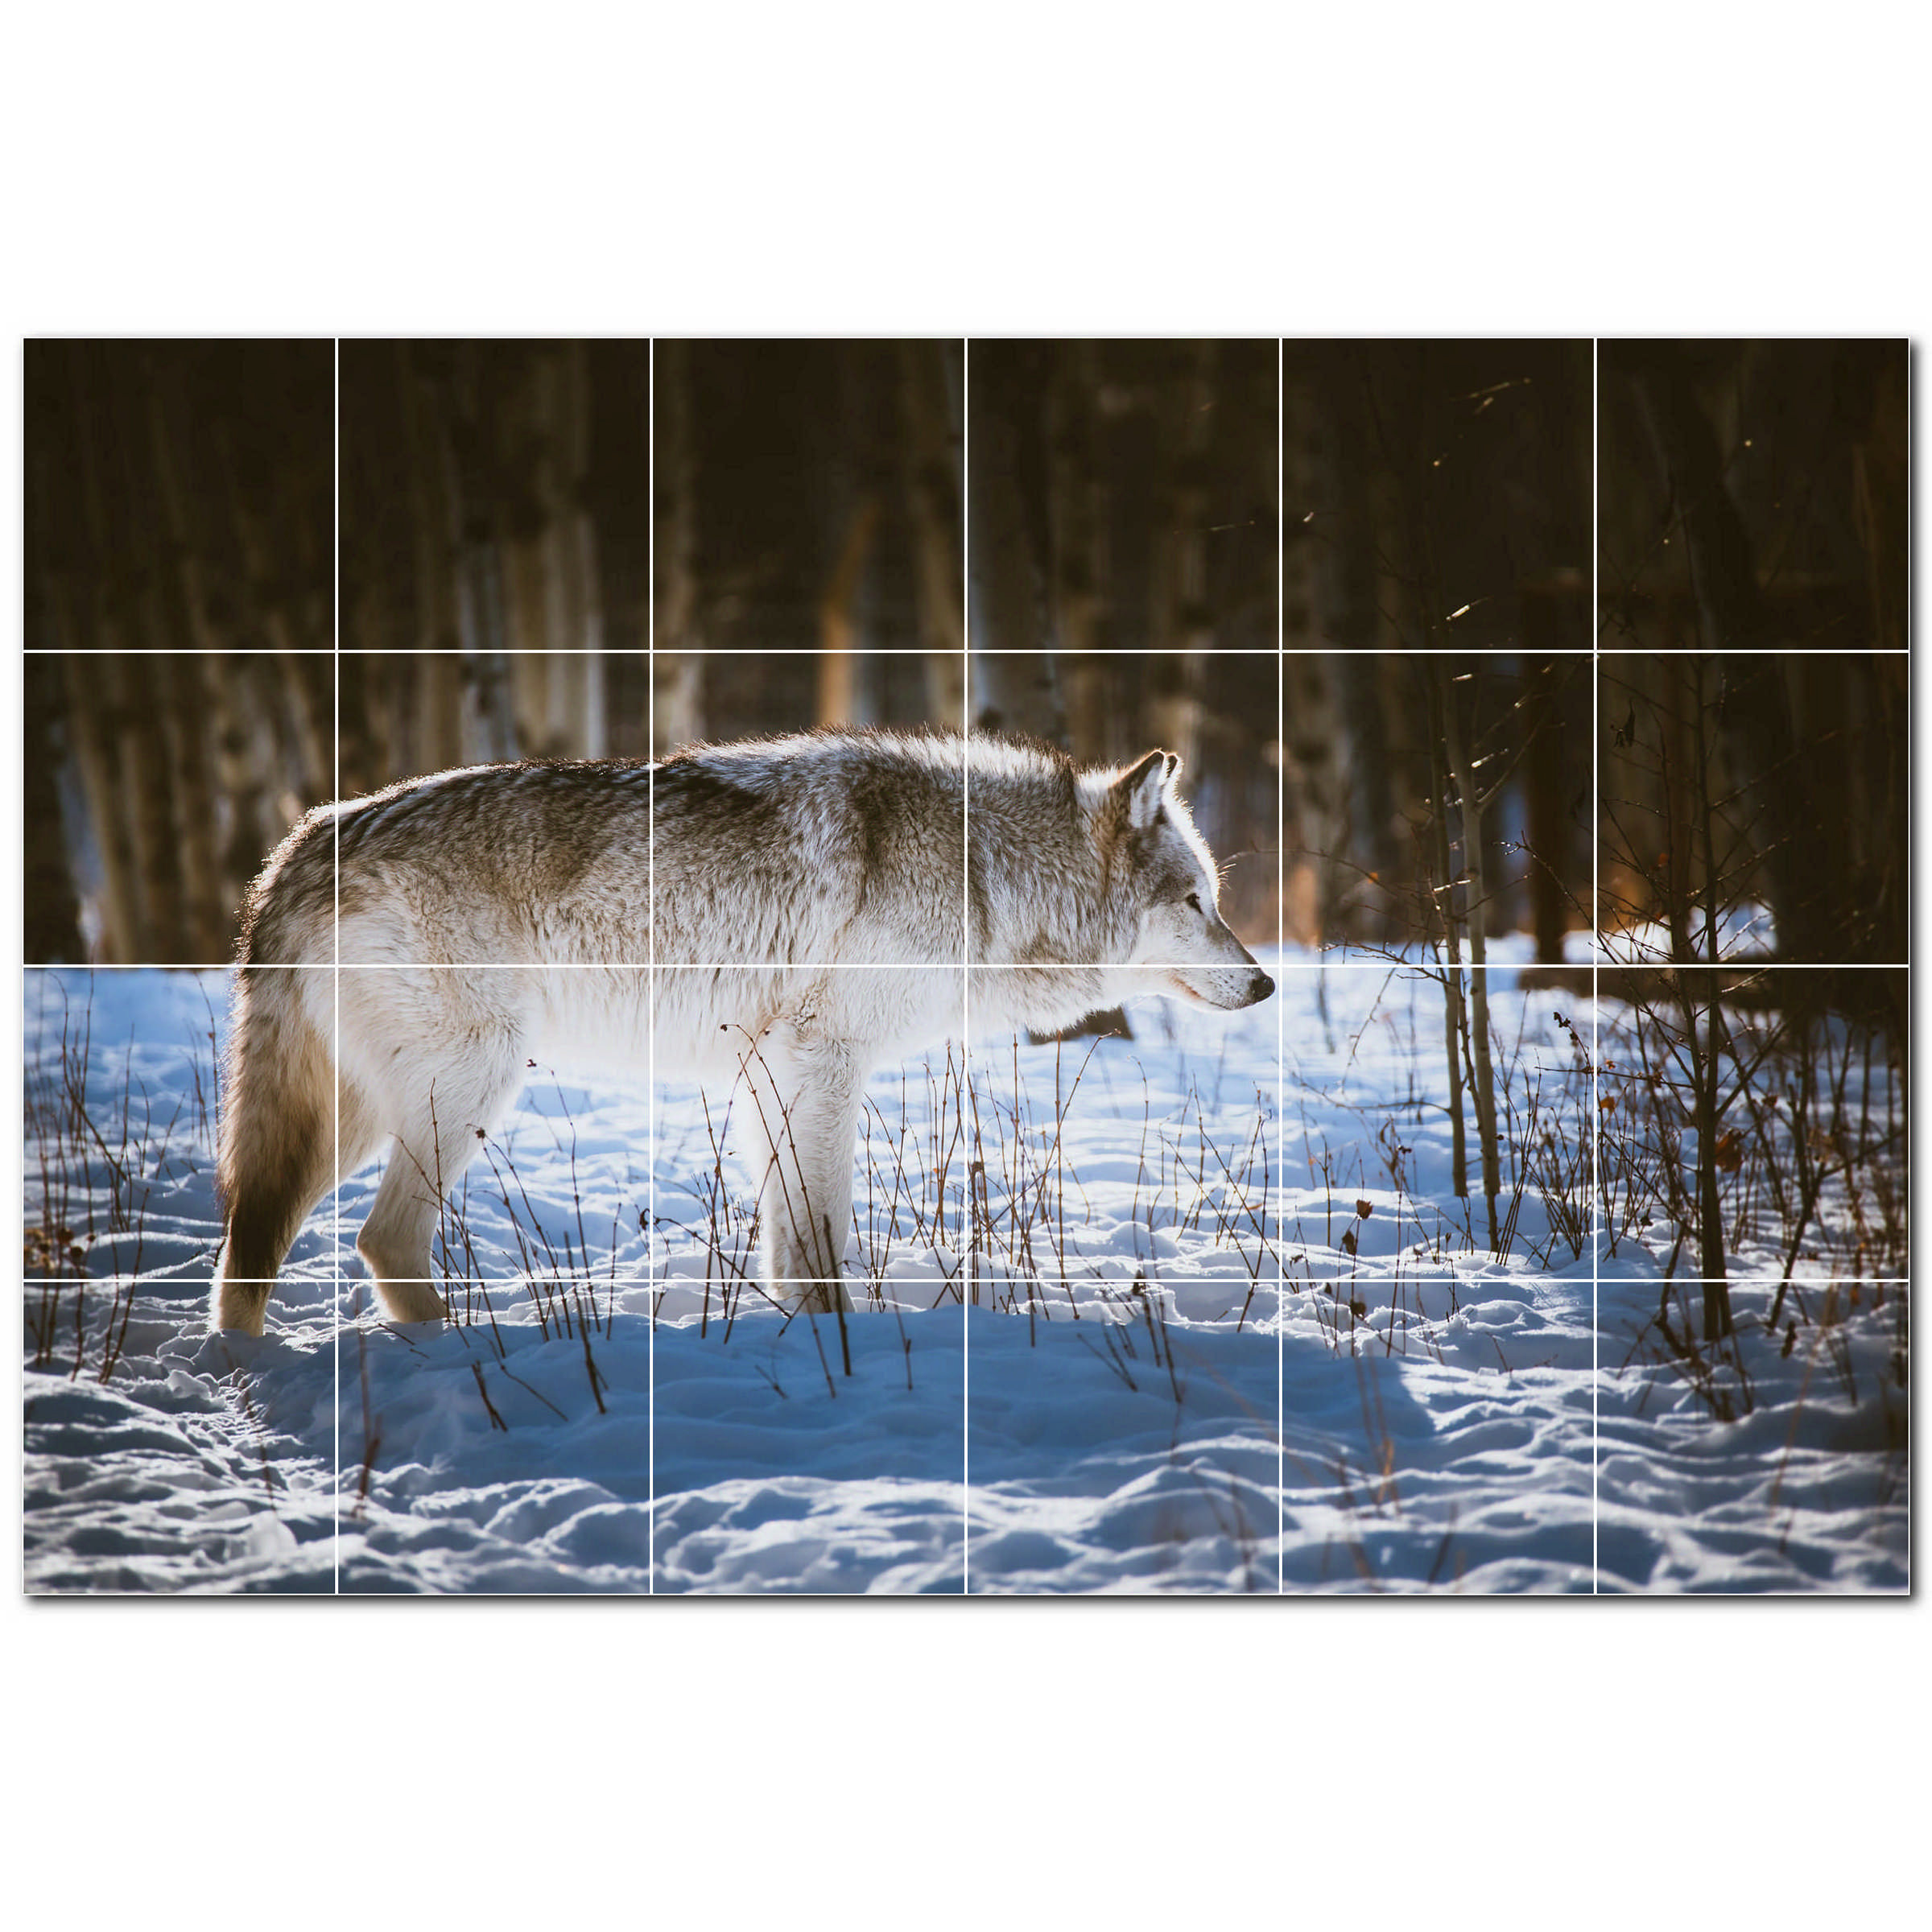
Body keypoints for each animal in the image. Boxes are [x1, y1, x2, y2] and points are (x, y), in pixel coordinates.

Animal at [211, 729, 1274, 1333]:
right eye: (1197, 902)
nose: (1265, 983)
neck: (985, 874)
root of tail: (301, 844)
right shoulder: (822, 1064)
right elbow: (819, 1234)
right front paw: (838, 1342)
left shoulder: (774, 1073)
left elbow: (784, 1239)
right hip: (467, 1087)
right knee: (380, 1239)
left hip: (352, 1121)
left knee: (256, 1236)